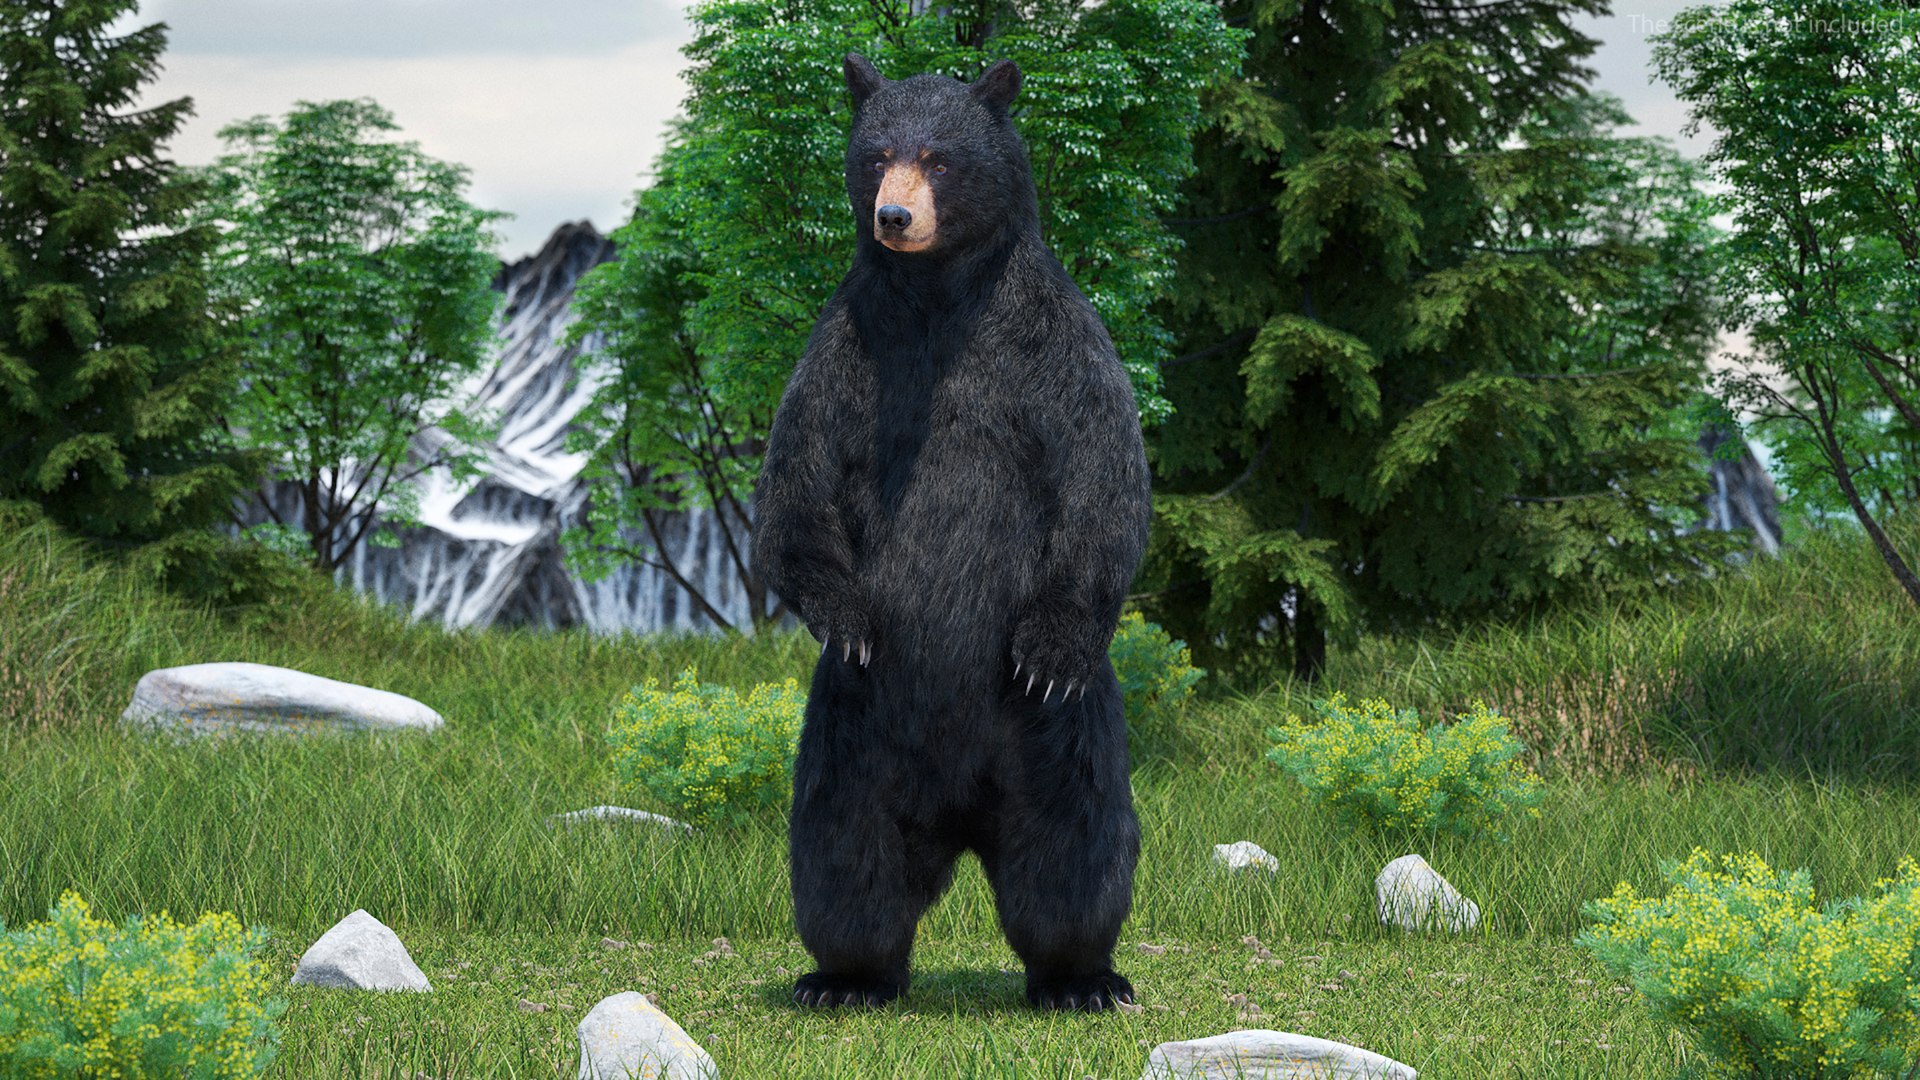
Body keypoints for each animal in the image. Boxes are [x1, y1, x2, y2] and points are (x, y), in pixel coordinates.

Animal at [749, 52, 1153, 1012]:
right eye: (878, 154)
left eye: (938, 157)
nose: (894, 216)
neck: (938, 298)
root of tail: (964, 817)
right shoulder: (849, 347)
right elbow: (795, 490)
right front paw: (851, 620)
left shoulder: (1055, 344)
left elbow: (1104, 484)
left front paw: (1047, 650)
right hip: (853, 733)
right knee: (843, 852)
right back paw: (846, 977)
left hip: (1057, 741)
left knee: (1076, 847)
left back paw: (1082, 978)